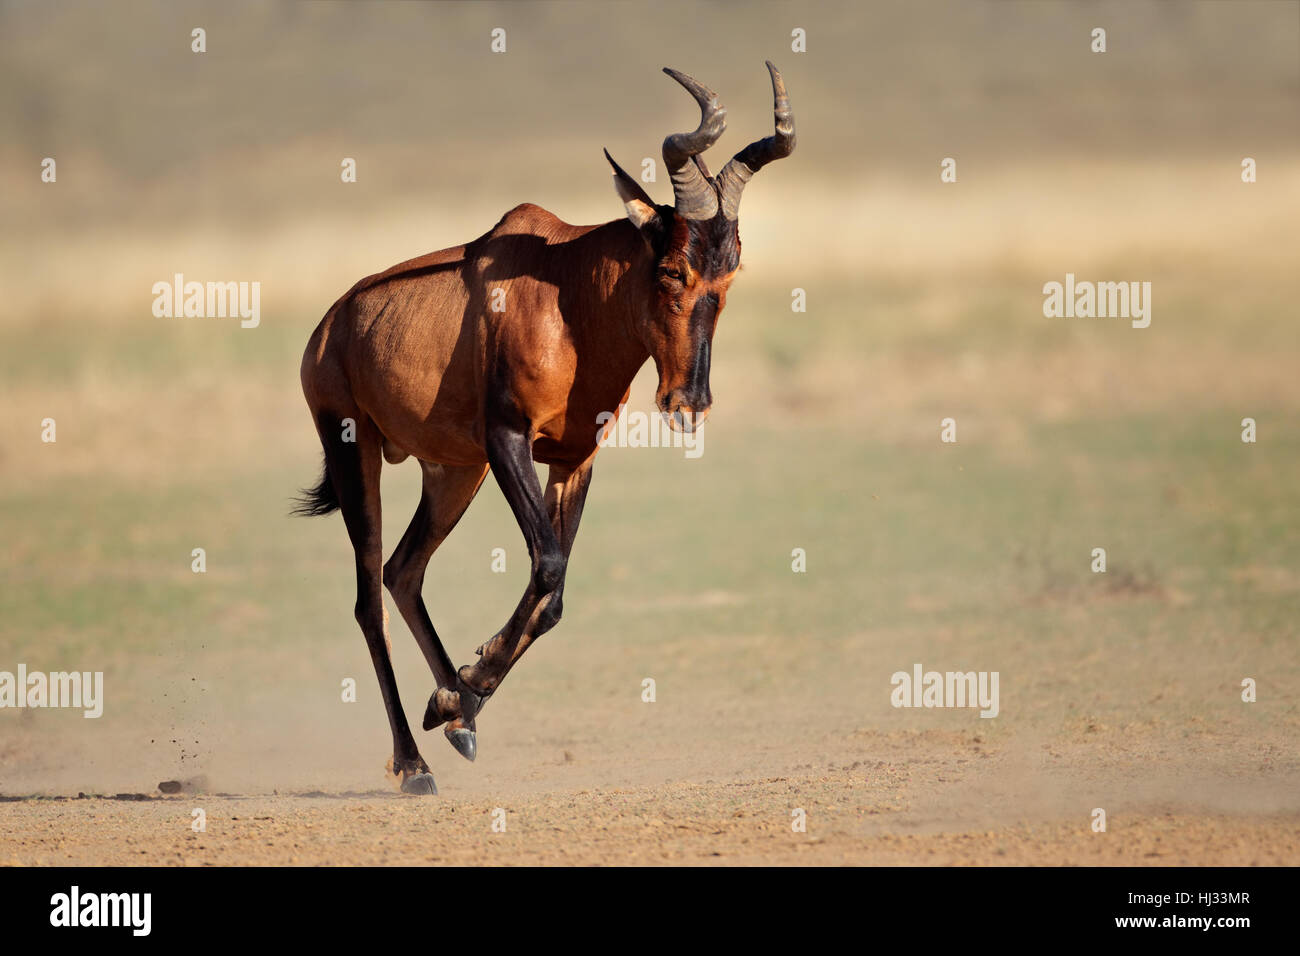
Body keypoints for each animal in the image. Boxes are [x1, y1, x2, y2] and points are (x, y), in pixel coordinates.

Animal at [296, 63, 795, 793]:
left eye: (729, 273)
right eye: (671, 268)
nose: (689, 402)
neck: (567, 290)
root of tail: (328, 325)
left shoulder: (573, 458)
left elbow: (552, 592)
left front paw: (459, 697)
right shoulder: (508, 441)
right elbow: (550, 563)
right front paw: (466, 687)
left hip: (455, 473)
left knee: (403, 571)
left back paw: (457, 722)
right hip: (355, 449)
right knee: (368, 597)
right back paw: (414, 765)